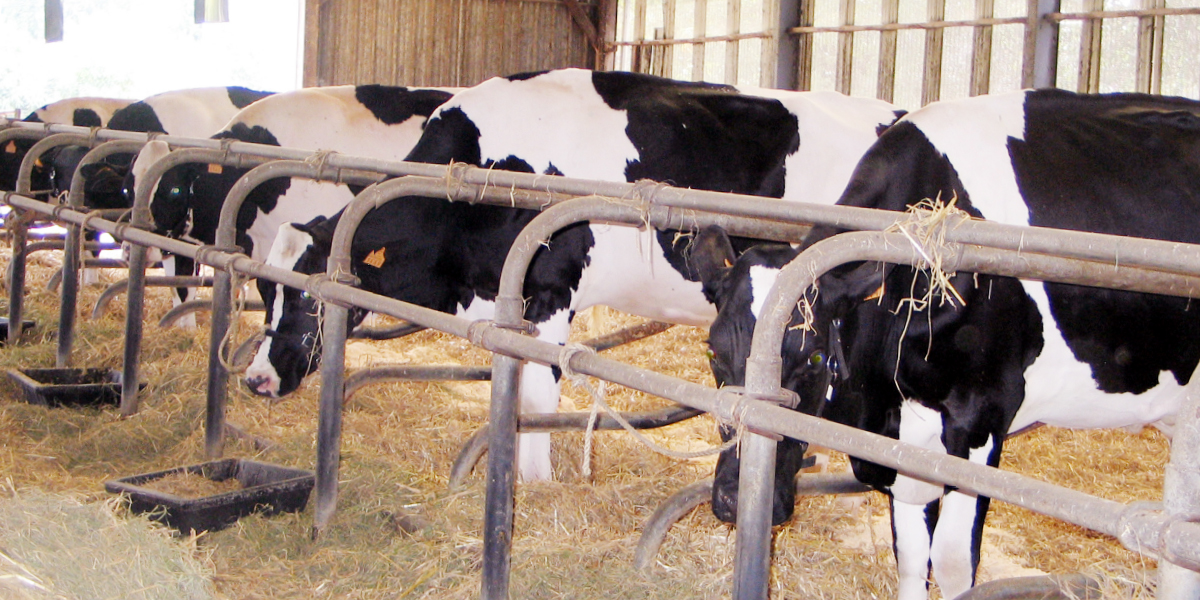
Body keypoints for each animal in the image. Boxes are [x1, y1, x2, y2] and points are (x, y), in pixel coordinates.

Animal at [243, 68, 902, 482]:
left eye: (306, 300)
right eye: (264, 289)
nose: (255, 380)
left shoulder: (550, 290)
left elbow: (536, 392)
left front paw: (534, 482)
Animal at [693, 88, 1200, 600]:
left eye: (815, 356)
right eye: (714, 354)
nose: (733, 498)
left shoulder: (982, 413)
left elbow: (954, 562)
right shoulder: (902, 445)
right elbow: (912, 558)